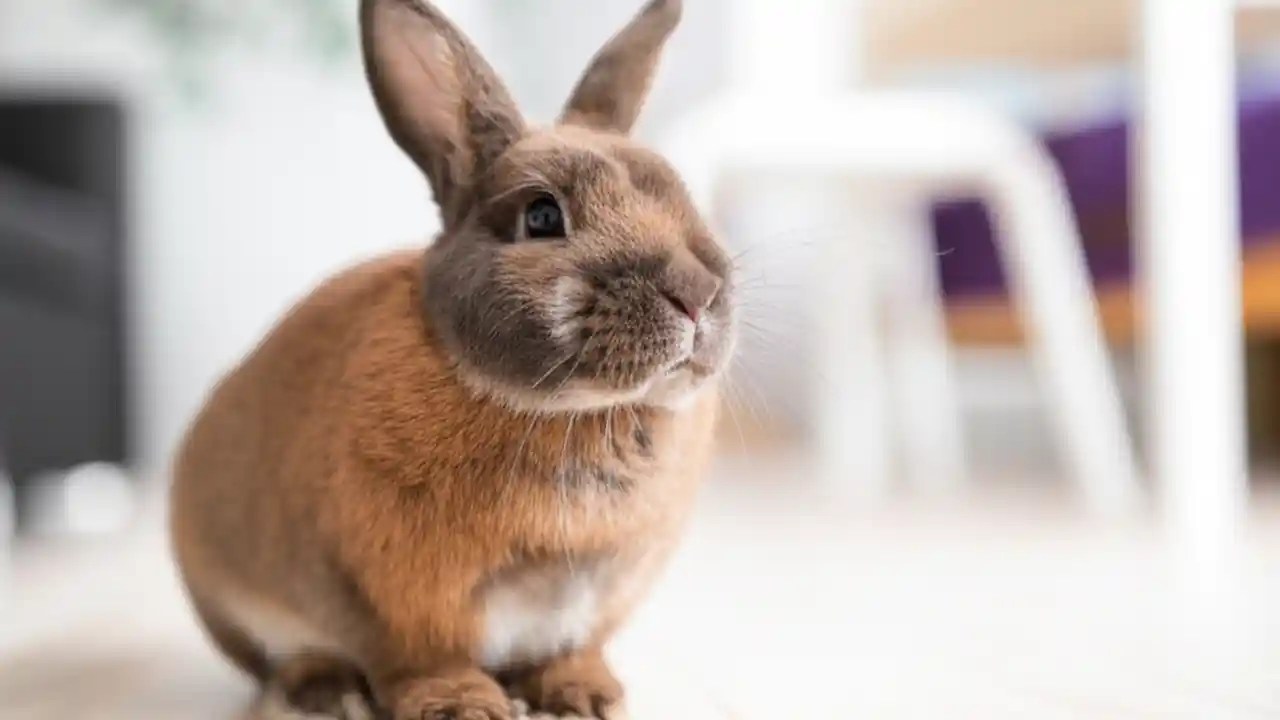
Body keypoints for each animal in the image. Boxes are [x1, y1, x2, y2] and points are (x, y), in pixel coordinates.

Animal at [170, 1, 736, 719]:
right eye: (541, 216)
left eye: (678, 196)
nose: (696, 293)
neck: (574, 412)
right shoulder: (387, 600)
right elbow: (421, 659)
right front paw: (462, 705)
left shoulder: (595, 603)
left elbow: (570, 649)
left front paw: (584, 695)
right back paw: (323, 692)